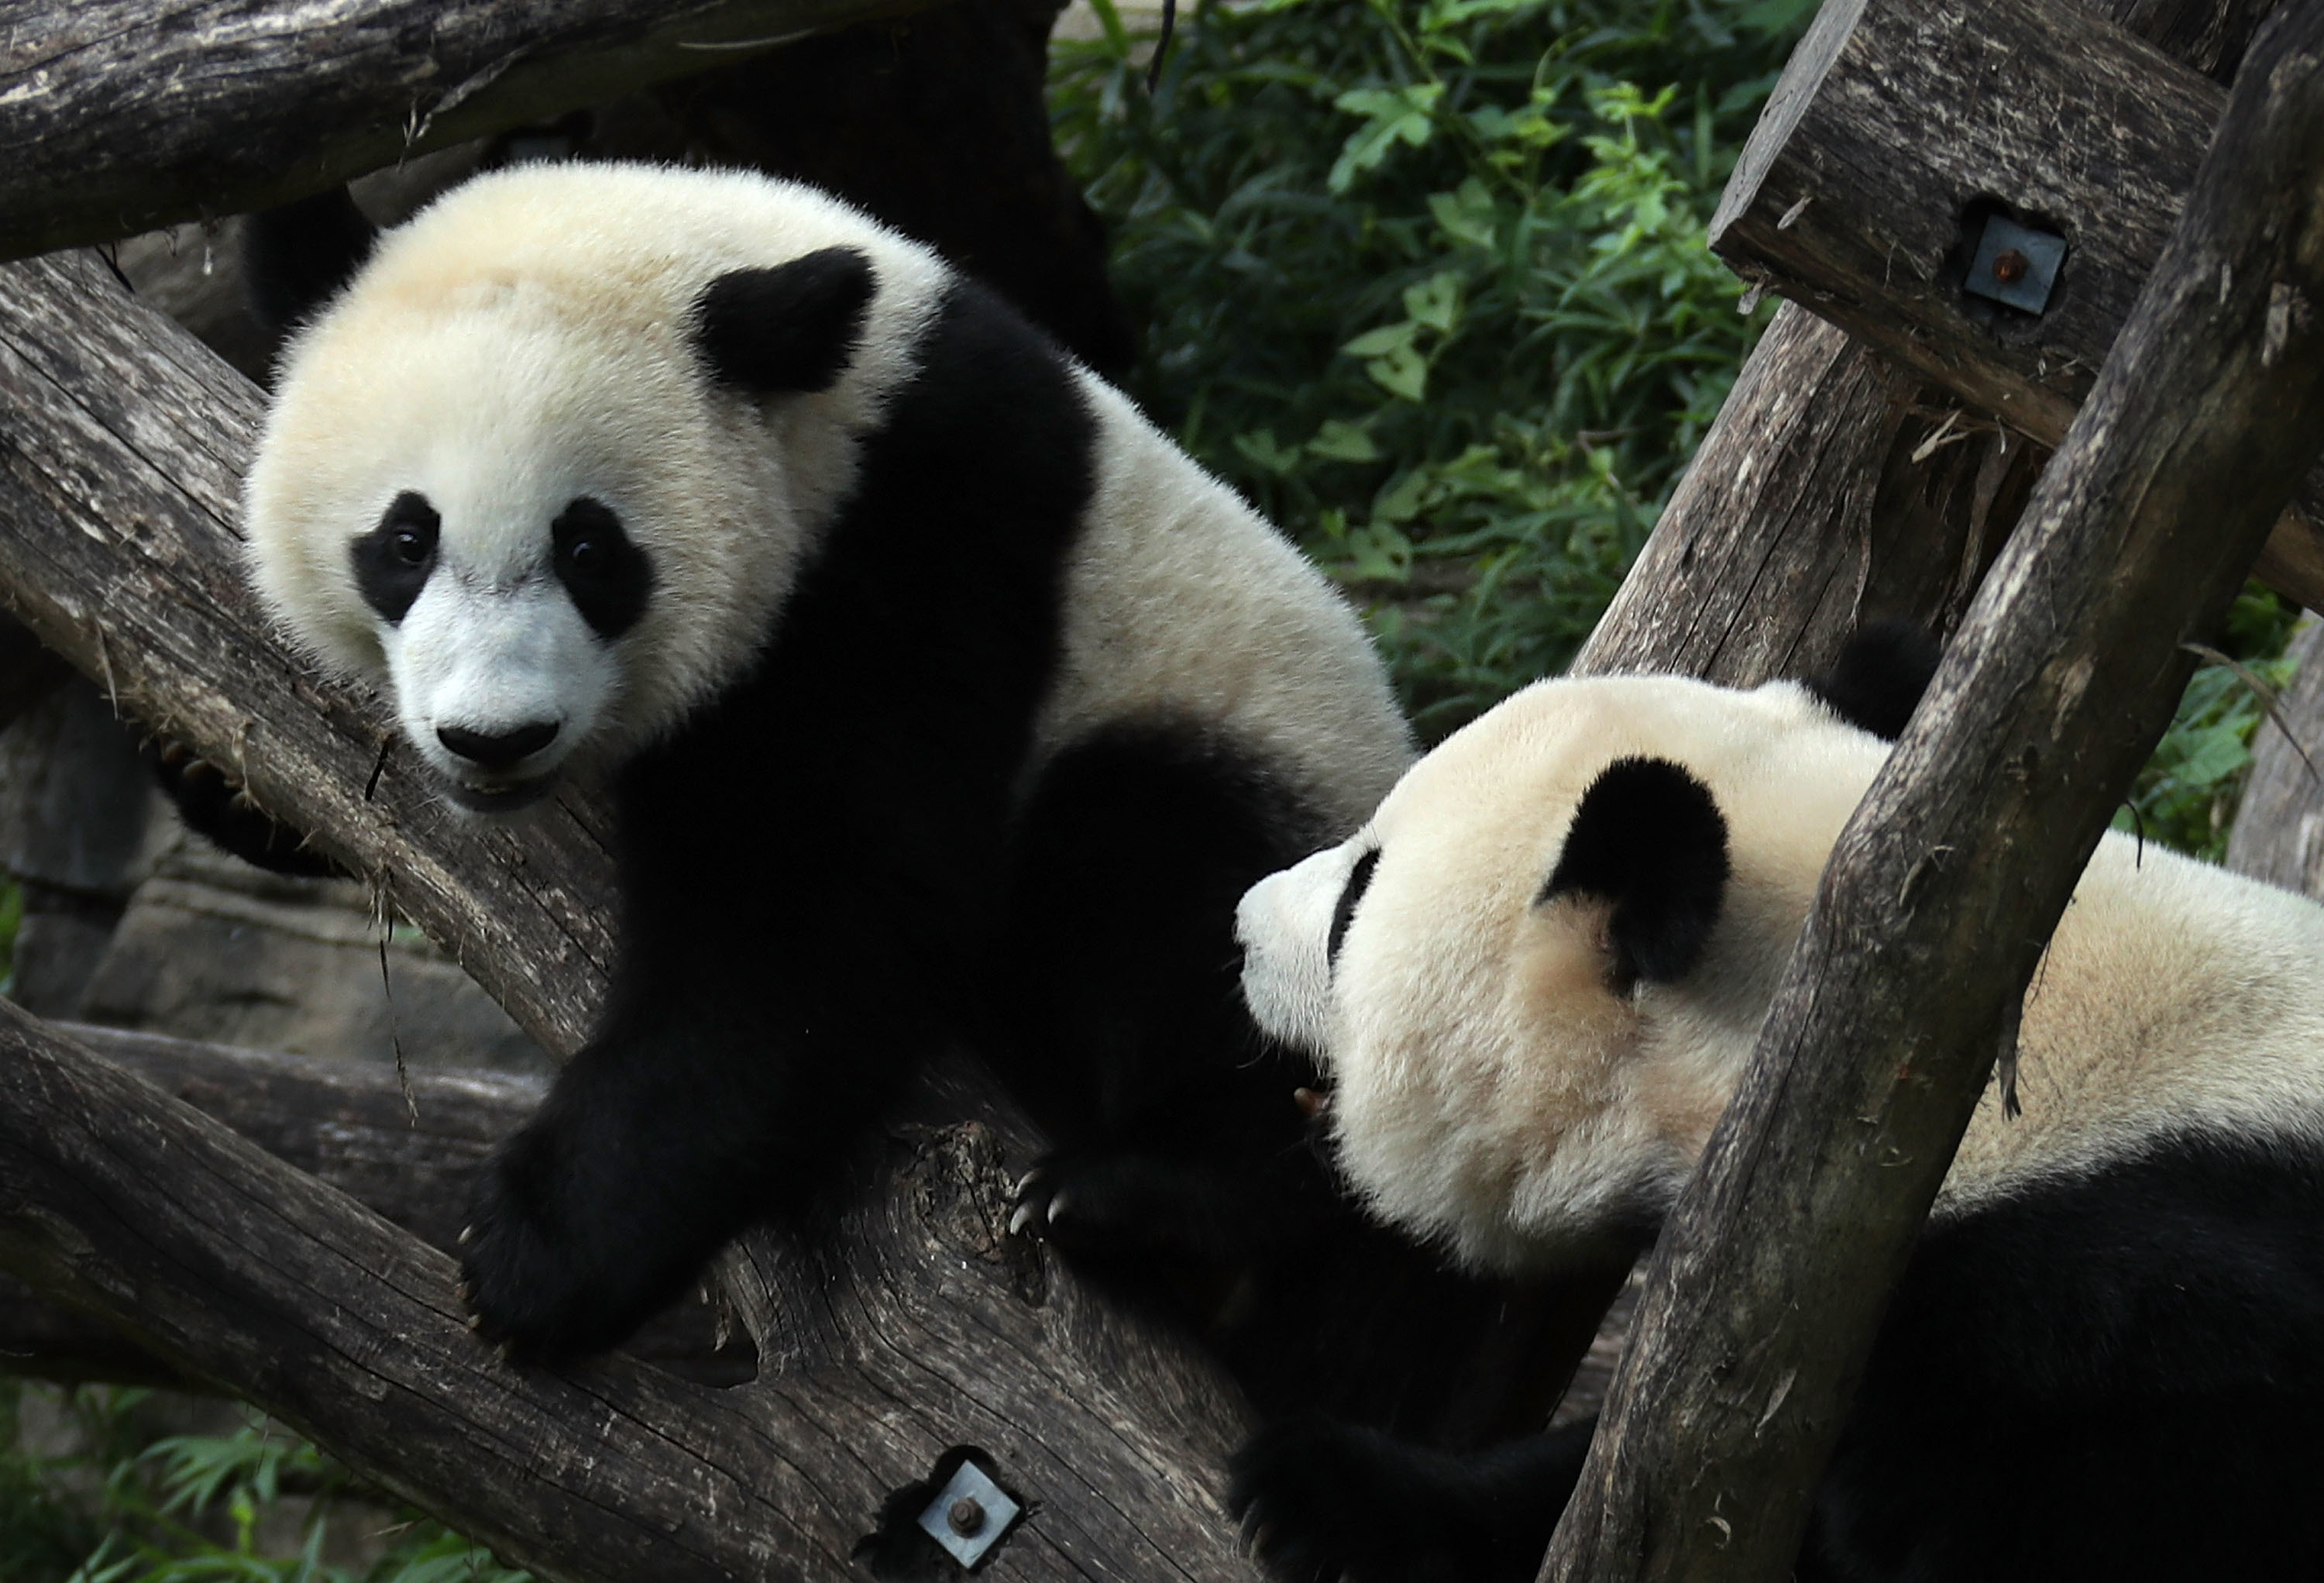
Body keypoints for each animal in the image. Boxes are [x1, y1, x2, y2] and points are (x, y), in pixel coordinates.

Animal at [238, 161, 1414, 1357]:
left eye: (590, 550)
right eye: (406, 540)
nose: (494, 737)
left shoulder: (918, 536)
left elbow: (811, 913)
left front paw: (537, 1252)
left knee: (1166, 873)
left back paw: (1143, 1190)